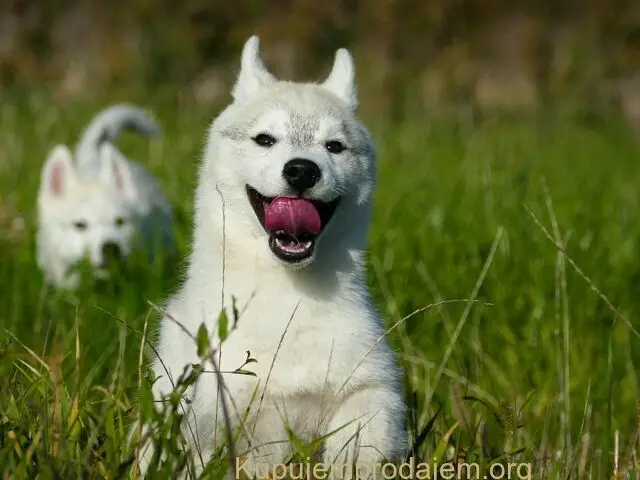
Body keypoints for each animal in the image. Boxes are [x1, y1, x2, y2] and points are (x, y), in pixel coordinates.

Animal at [143, 36, 408, 476]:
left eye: (334, 146)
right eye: (265, 139)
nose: (302, 170)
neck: (287, 297)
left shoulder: (369, 384)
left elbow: (366, 426)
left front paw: (348, 464)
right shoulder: (215, 407)